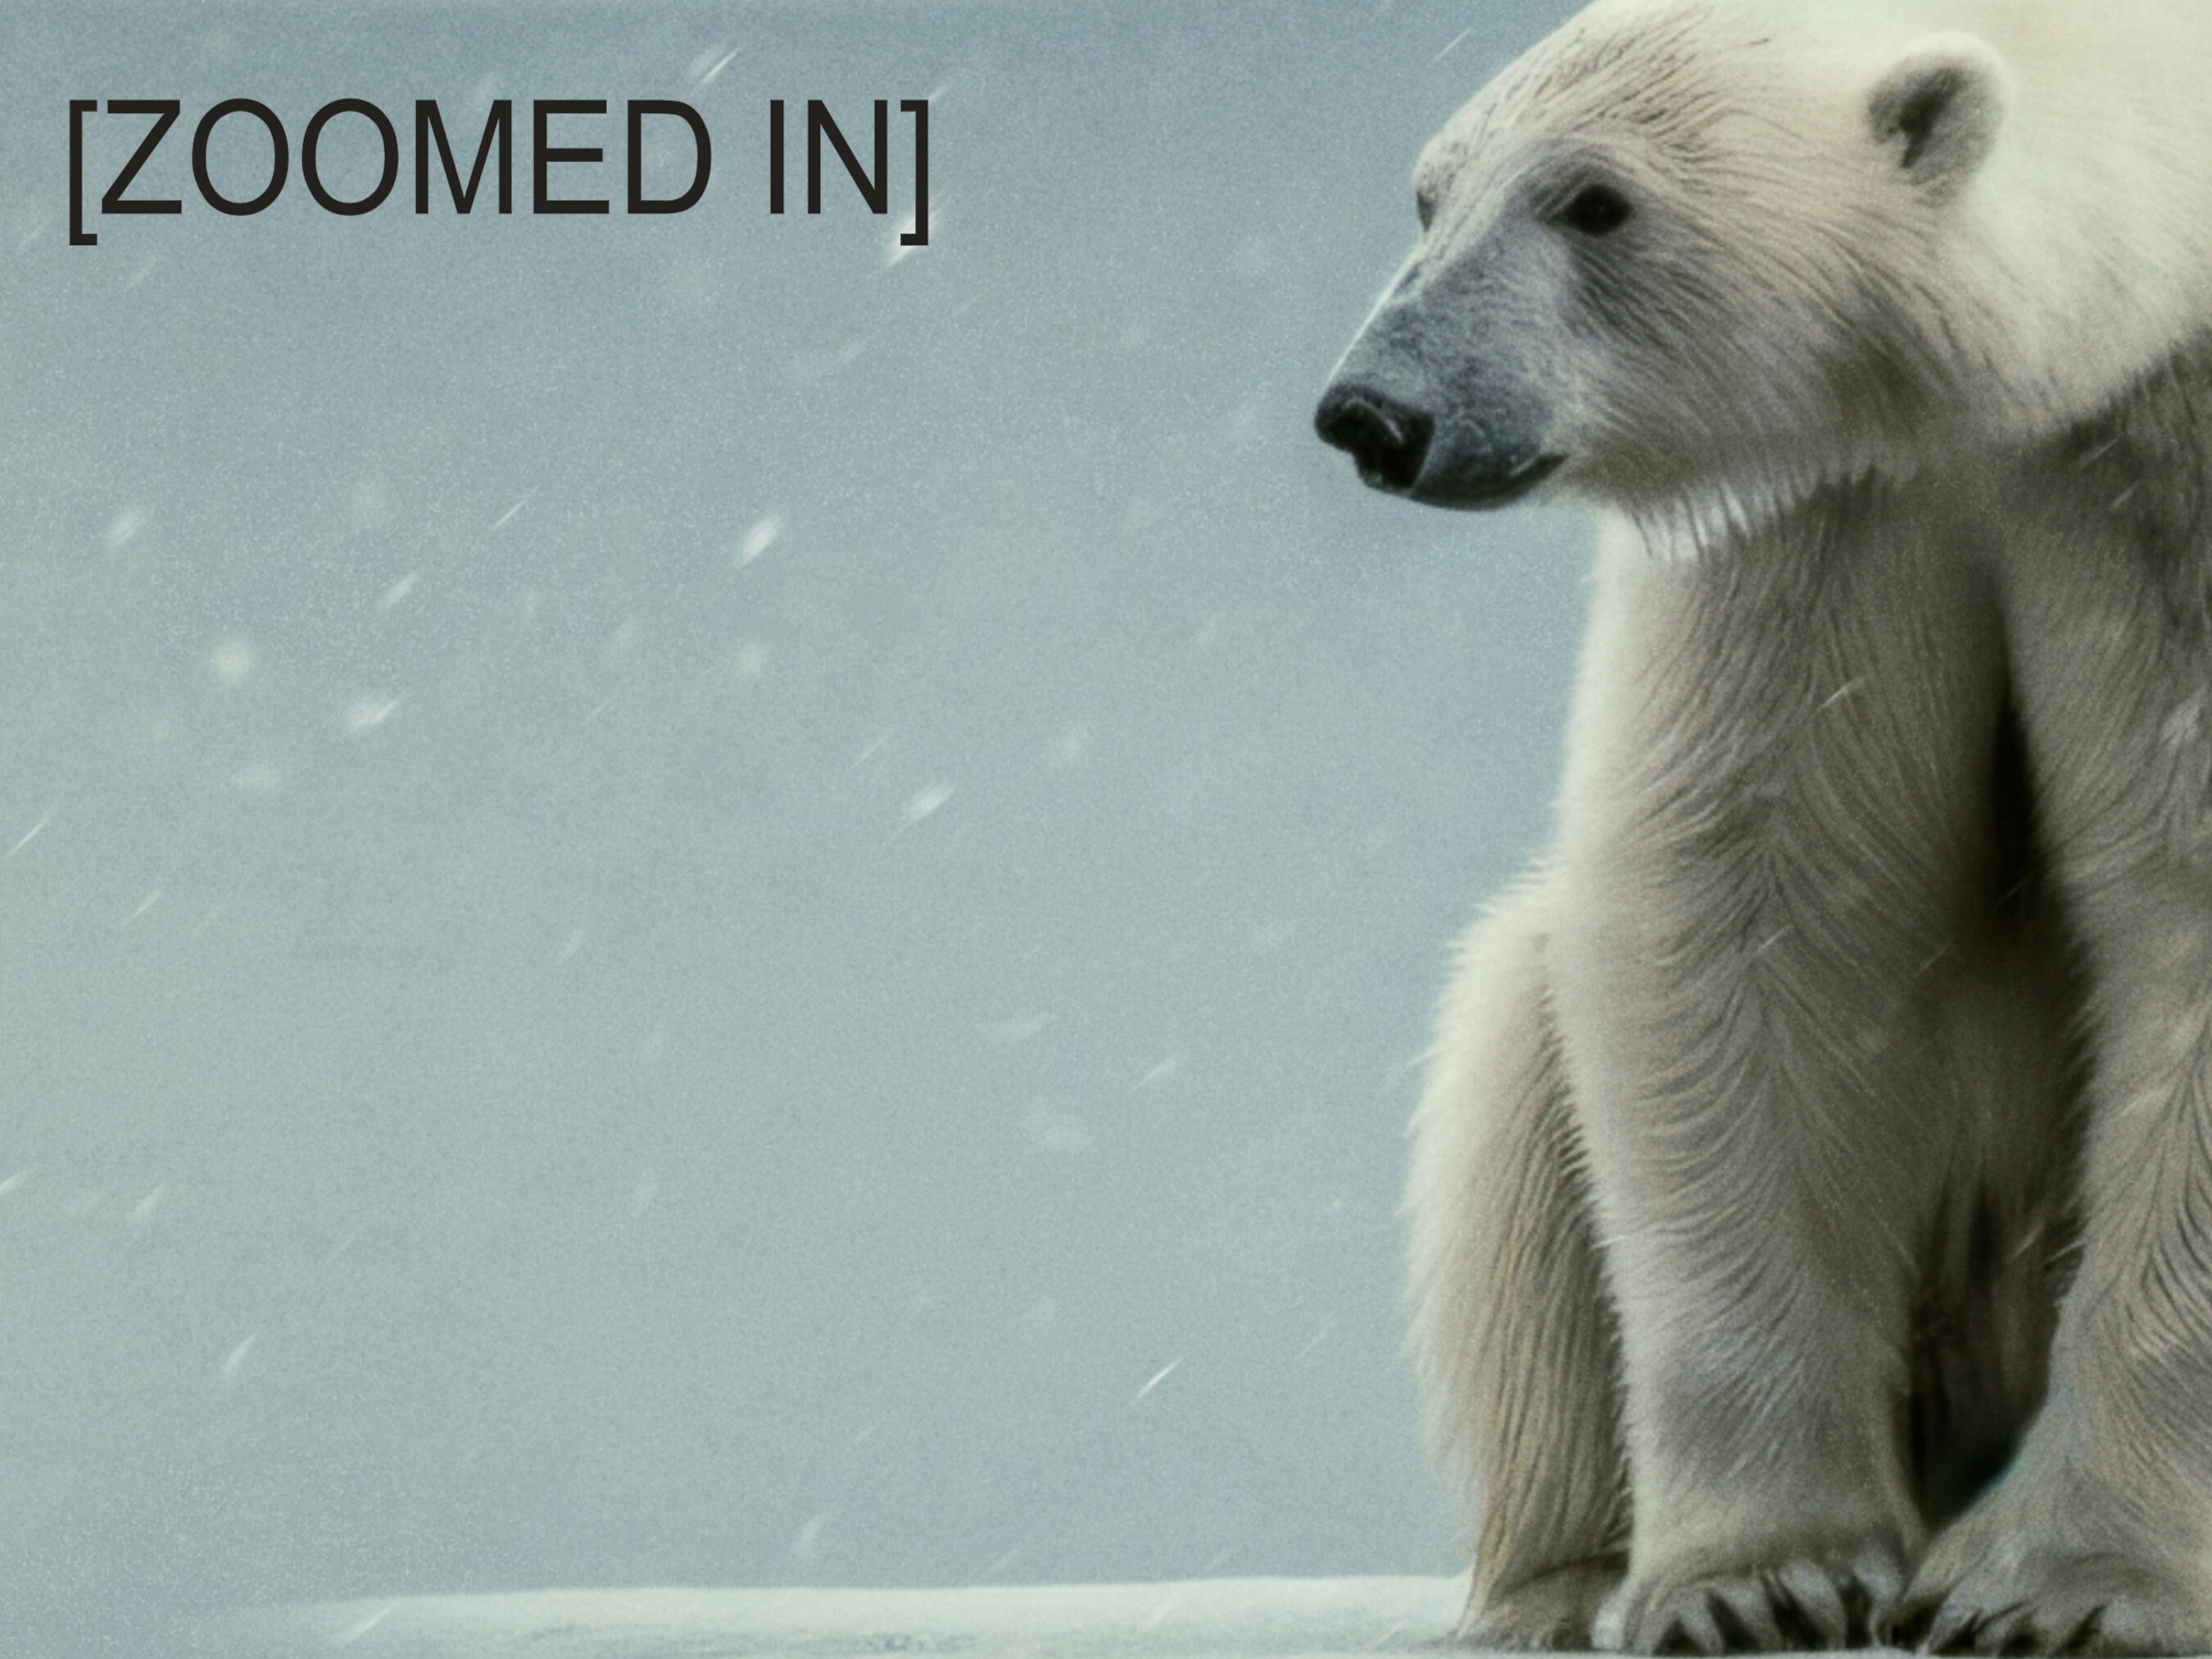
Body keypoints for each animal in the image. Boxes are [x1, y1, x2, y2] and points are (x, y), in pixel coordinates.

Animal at [1314, 0, 2212, 1652]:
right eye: (1430, 192)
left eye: (1595, 201)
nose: (1377, 410)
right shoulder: (1824, 507)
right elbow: (1743, 901)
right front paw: (1761, 1577)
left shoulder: (2159, 483)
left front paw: (2061, 1583)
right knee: (1522, 1026)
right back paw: (1554, 1575)